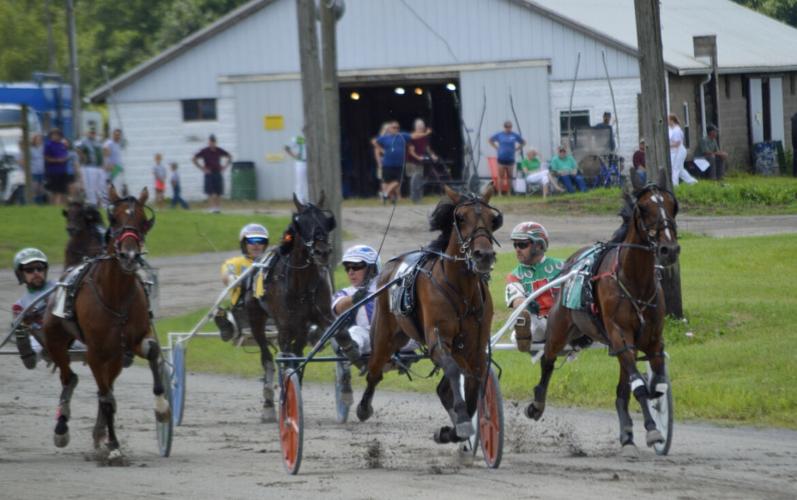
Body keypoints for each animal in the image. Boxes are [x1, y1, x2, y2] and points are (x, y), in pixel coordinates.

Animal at [42, 185, 166, 461]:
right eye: (116, 219)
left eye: (142, 220)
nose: (129, 255)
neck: (115, 295)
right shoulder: (96, 352)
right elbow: (107, 400)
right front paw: (115, 446)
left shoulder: (133, 341)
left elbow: (153, 352)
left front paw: (162, 408)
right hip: (55, 339)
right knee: (70, 378)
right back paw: (62, 427)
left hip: (116, 357)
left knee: (103, 388)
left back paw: (99, 435)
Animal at [246, 193, 336, 422]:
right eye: (300, 223)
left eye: (326, 221)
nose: (322, 252)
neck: (302, 284)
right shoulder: (284, 328)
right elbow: (285, 359)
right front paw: (285, 401)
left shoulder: (320, 319)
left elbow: (299, 361)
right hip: (256, 319)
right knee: (266, 357)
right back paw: (269, 404)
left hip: (300, 328)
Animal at [356, 184, 502, 444]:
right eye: (460, 217)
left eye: (492, 219)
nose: (483, 255)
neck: (462, 292)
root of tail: (392, 265)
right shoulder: (438, 339)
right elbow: (453, 371)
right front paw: (461, 423)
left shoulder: (474, 348)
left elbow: (474, 386)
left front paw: (453, 430)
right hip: (386, 334)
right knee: (374, 370)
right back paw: (363, 408)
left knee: (443, 388)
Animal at [525, 170, 679, 453]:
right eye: (644, 208)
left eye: (673, 205)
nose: (669, 249)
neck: (635, 282)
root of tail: (570, 263)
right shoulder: (620, 335)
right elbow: (639, 387)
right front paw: (653, 430)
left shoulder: (652, 340)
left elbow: (656, 385)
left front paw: (653, 417)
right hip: (559, 327)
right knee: (547, 361)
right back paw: (537, 405)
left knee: (622, 390)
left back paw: (627, 434)